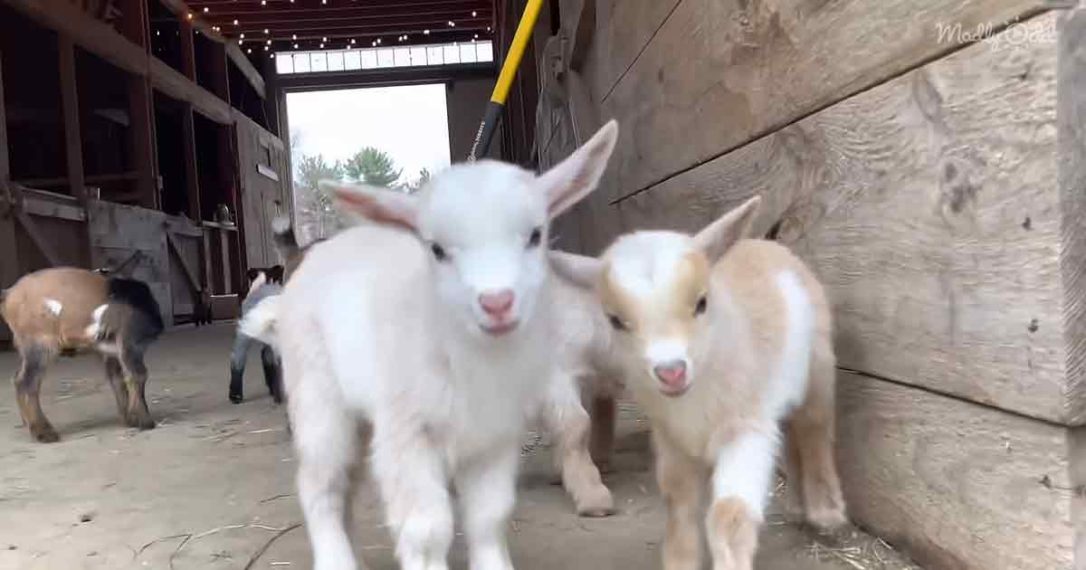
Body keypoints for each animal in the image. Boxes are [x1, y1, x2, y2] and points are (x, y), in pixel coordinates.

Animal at [1, 267, 164, 442]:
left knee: (18, 378)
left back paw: (28, 424)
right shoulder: (131, 341)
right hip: (40, 343)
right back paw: (44, 432)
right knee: (26, 382)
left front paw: (129, 419)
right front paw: (145, 421)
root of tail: (9, 295)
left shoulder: (110, 351)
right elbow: (137, 374)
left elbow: (117, 379)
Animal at [241, 121, 619, 570]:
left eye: (535, 235)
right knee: (321, 484)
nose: (497, 302)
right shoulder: (408, 433)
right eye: (436, 249)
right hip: (318, 396)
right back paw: (336, 558)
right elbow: (428, 529)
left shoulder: (494, 437)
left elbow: (489, 517)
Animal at [550, 196, 847, 570]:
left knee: (815, 431)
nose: (671, 372)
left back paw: (826, 513)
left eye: (702, 303)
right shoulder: (671, 438)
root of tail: (763, 244)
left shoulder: (744, 429)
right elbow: (678, 499)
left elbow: (728, 514)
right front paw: (680, 560)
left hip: (818, 368)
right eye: (615, 320)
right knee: (793, 437)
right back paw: (796, 507)